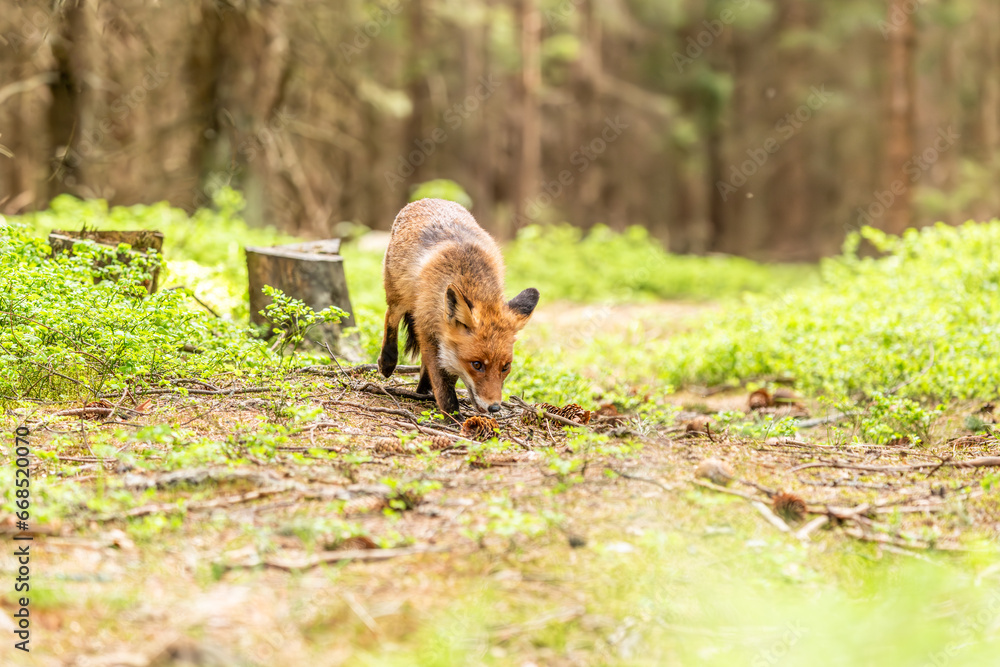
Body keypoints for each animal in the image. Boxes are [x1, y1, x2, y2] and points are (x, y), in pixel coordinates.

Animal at [378, 198, 539, 416]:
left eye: (505, 367)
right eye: (477, 365)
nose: (495, 407)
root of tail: (431, 199)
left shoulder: (445, 339)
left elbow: (447, 373)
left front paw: (429, 393)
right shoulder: (428, 329)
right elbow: (444, 386)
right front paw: (454, 417)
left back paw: (423, 390)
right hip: (398, 294)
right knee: (391, 317)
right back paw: (388, 362)